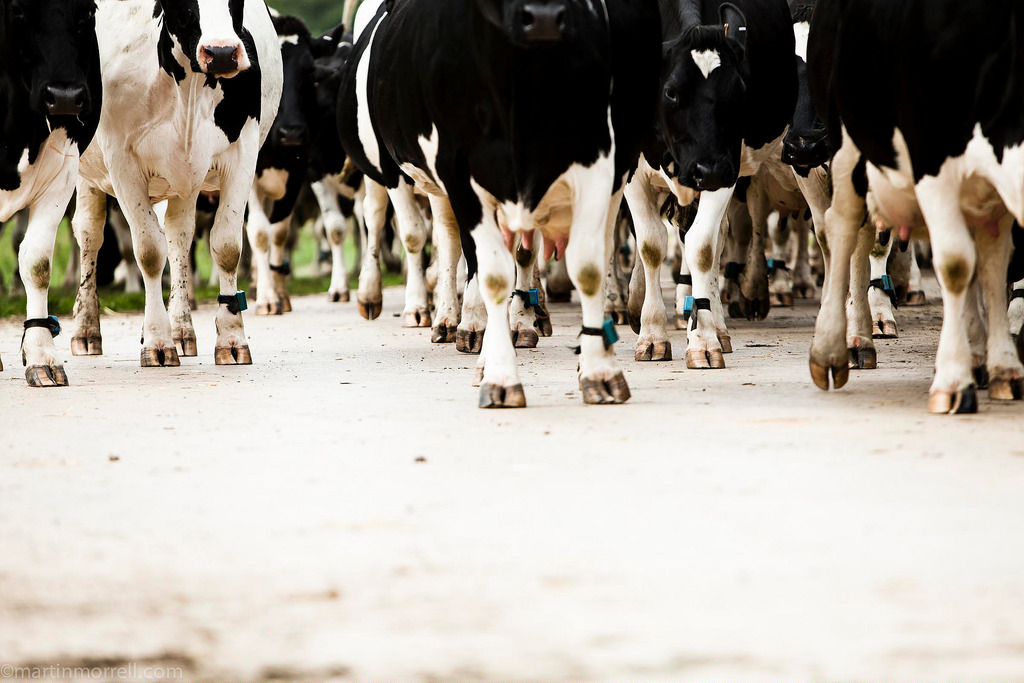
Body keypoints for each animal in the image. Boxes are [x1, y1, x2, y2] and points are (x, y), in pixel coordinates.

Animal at [0, 0, 102, 386]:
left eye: (88, 11)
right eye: (18, 9)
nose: (65, 97)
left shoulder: (63, 169)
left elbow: (38, 262)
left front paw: (41, 355)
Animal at [72, 0, 282, 367]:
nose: (222, 53)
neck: (190, 87)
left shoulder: (243, 152)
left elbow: (226, 246)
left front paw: (231, 339)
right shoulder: (122, 162)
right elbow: (149, 251)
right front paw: (157, 341)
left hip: (186, 179)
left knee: (179, 236)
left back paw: (182, 329)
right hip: (87, 172)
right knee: (89, 235)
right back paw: (86, 330)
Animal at [338, 0, 661, 407]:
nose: (542, 19)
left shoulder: (600, 166)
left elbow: (582, 265)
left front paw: (598, 369)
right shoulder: (456, 177)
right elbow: (477, 265)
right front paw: (496, 369)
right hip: (397, 168)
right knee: (403, 225)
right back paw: (422, 309)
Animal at [808, 0, 1024, 413]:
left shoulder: (995, 199)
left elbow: (991, 270)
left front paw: (1004, 367)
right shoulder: (930, 163)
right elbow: (956, 264)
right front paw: (953, 381)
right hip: (848, 145)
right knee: (845, 230)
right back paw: (839, 346)